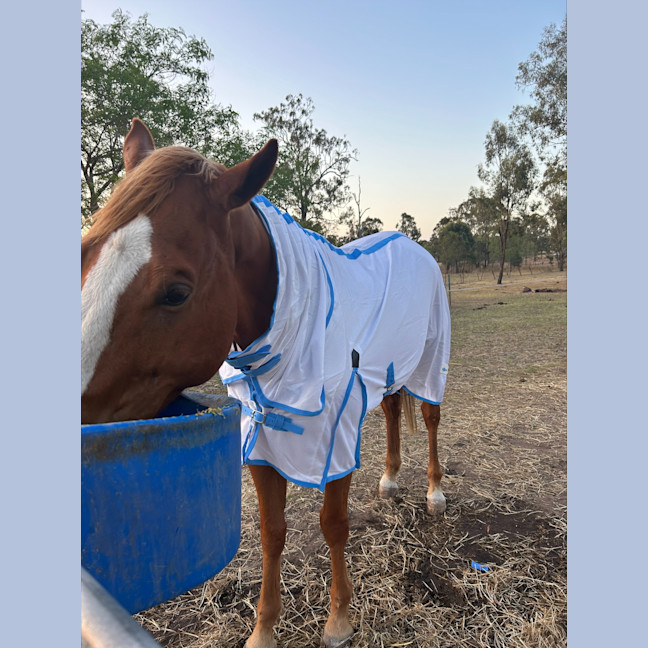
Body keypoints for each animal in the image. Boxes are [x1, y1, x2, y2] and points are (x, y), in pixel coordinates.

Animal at [81, 118, 451, 648]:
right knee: (392, 413)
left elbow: (333, 523)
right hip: (386, 375)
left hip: (430, 362)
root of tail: (414, 246)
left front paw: (339, 619)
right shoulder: (259, 436)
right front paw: (264, 628)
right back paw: (389, 480)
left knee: (430, 416)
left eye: (176, 292)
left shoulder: (335, 435)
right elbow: (272, 531)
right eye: (84, 252)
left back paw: (435, 493)